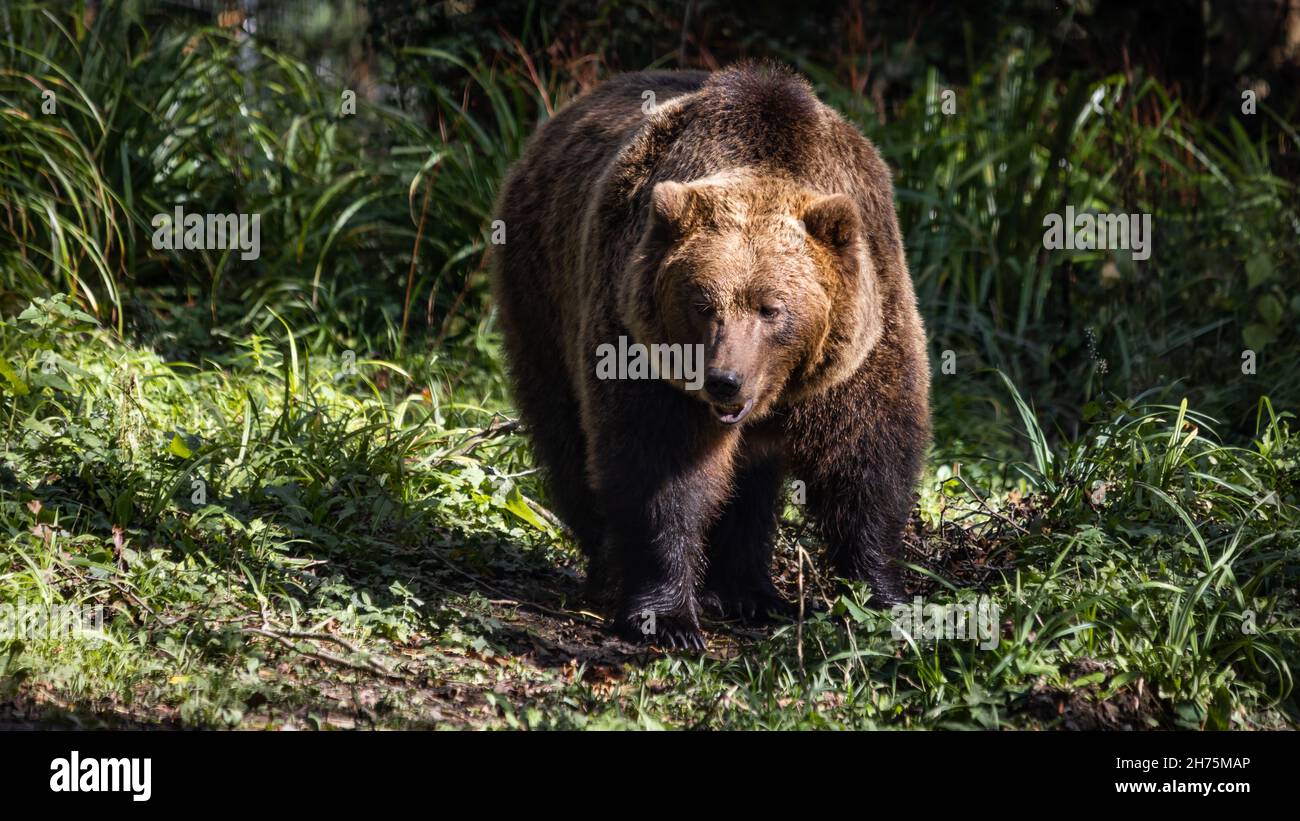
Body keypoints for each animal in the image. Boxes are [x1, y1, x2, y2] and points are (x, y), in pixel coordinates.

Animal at [491, 63, 930, 649]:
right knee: (565, 433)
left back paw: (752, 593)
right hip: (541, 288)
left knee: (751, 483)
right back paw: (609, 571)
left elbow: (867, 467)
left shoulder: (861, 349)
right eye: (702, 303)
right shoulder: (644, 350)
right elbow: (660, 469)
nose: (725, 380)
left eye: (771, 309)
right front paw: (667, 619)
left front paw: (886, 597)